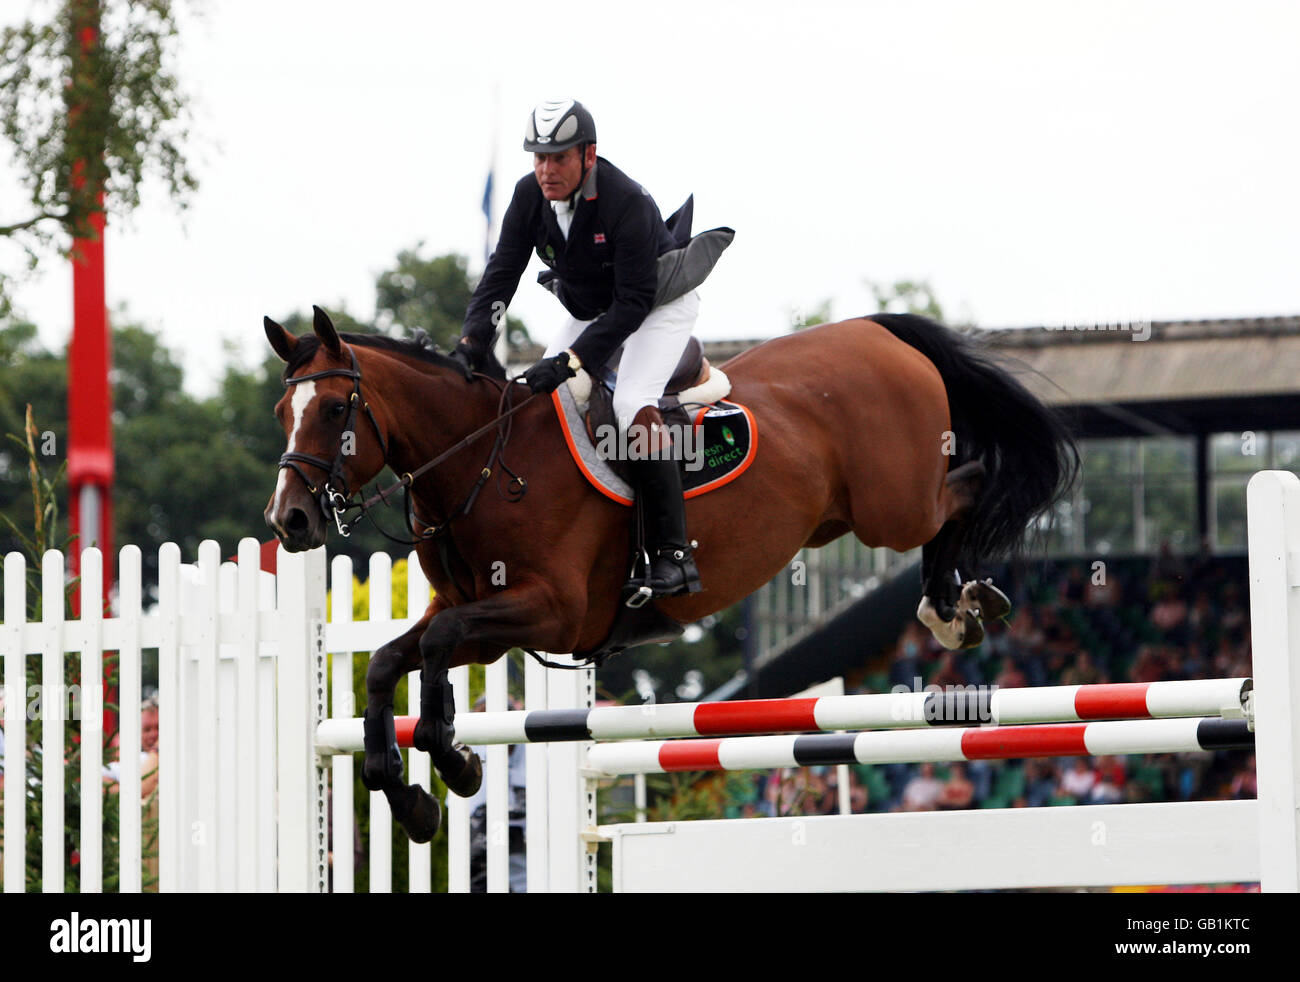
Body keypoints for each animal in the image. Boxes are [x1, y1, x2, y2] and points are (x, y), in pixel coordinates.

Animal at [263, 306, 1077, 842]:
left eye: (333, 408)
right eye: (279, 411)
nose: (288, 522)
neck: (483, 463)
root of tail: (878, 330)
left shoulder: (549, 611)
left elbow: (430, 651)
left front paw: (454, 763)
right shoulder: (480, 619)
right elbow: (387, 663)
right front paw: (412, 797)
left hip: (893, 507)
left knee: (968, 486)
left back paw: (956, 602)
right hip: (849, 514)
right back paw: (962, 602)